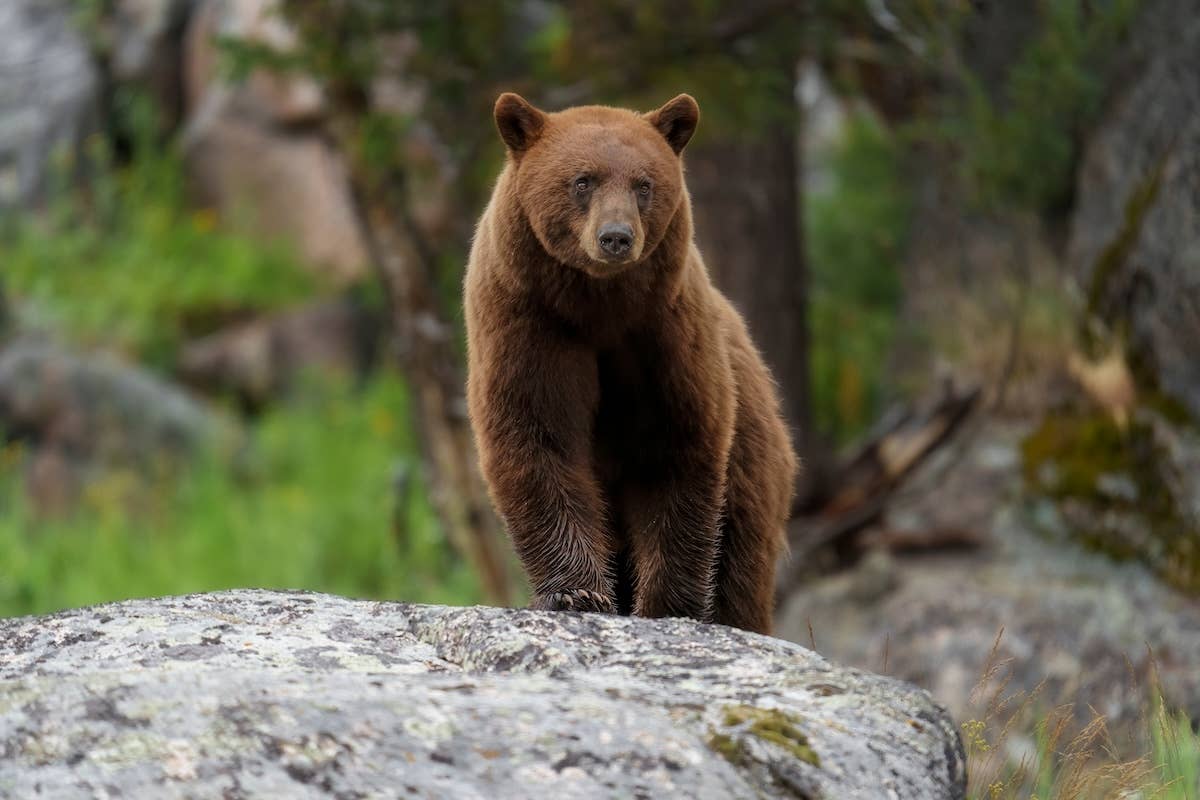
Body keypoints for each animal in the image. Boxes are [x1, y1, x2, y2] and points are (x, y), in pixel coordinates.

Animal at [464, 92, 797, 635]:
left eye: (644, 184)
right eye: (583, 180)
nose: (616, 237)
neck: (599, 307)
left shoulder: (663, 334)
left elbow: (675, 447)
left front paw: (668, 605)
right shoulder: (530, 325)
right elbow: (537, 438)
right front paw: (576, 593)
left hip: (754, 459)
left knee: (742, 563)